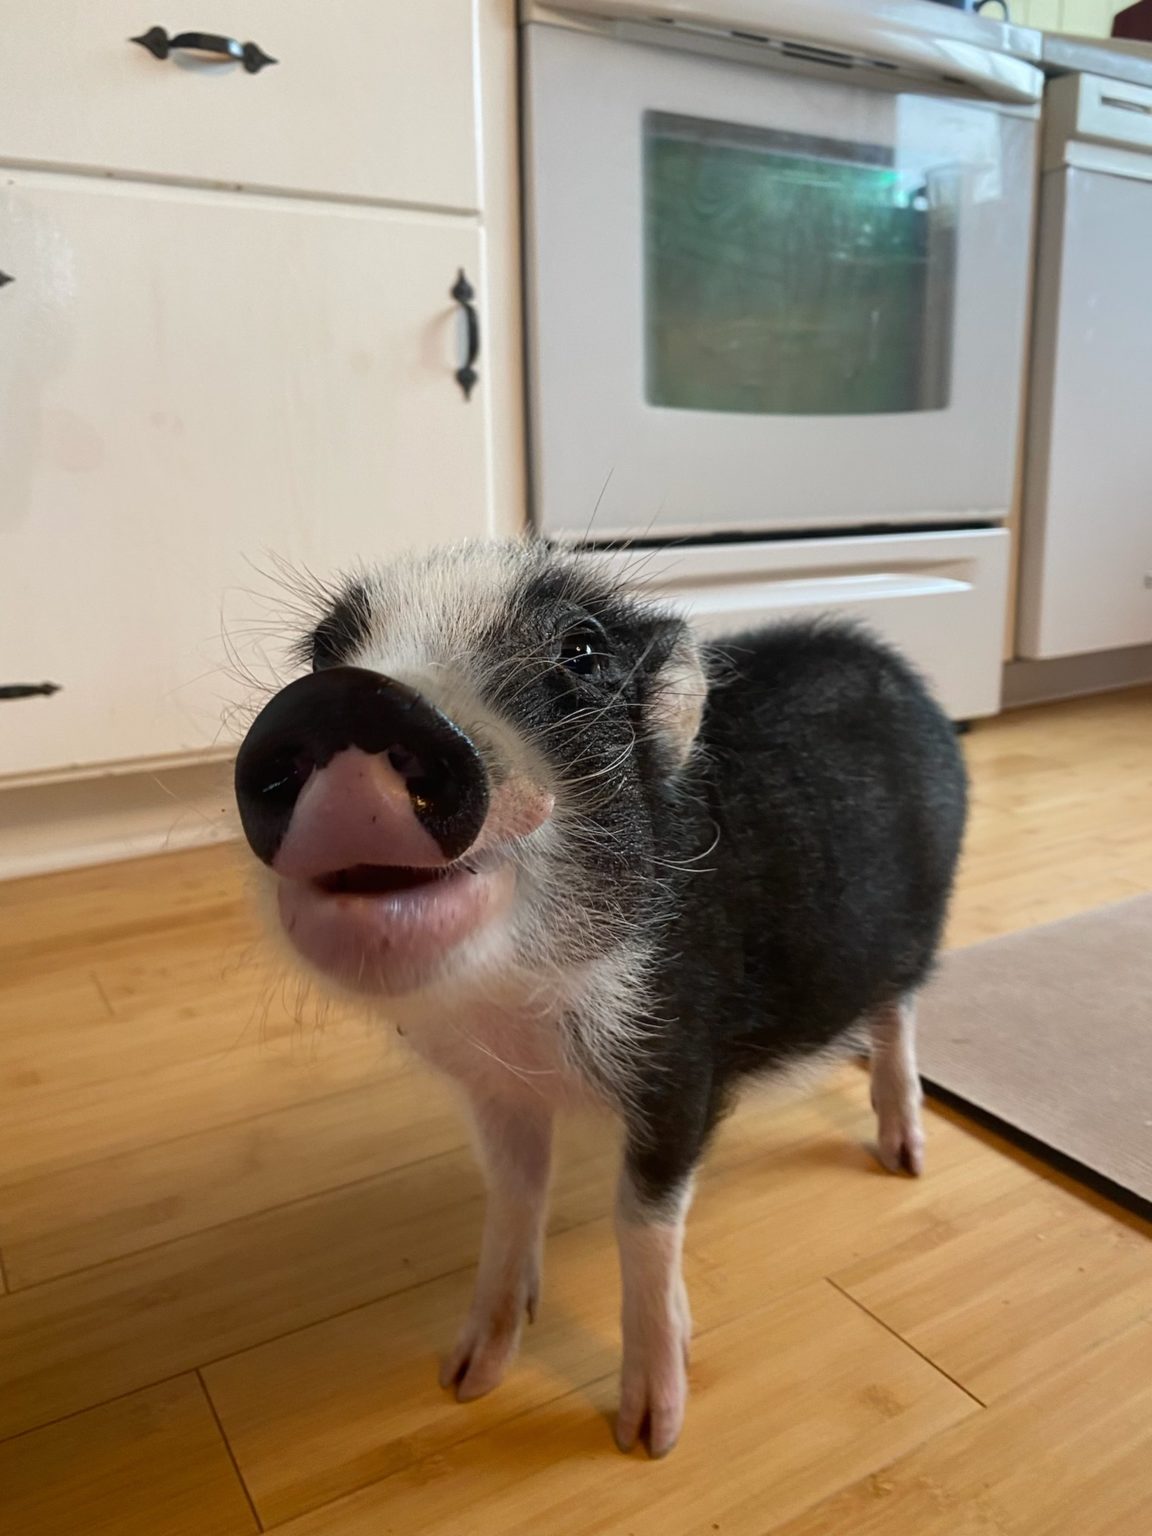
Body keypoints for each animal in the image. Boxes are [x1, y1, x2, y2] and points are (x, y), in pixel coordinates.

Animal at [233, 539, 967, 1457]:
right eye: (324, 654)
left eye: (581, 654)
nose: (347, 698)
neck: (521, 1009)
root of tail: (887, 662)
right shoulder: (493, 1086)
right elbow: (513, 1192)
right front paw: (467, 1376)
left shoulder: (681, 1063)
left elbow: (642, 1220)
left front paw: (649, 1435)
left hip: (923, 920)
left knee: (901, 1009)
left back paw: (906, 1158)